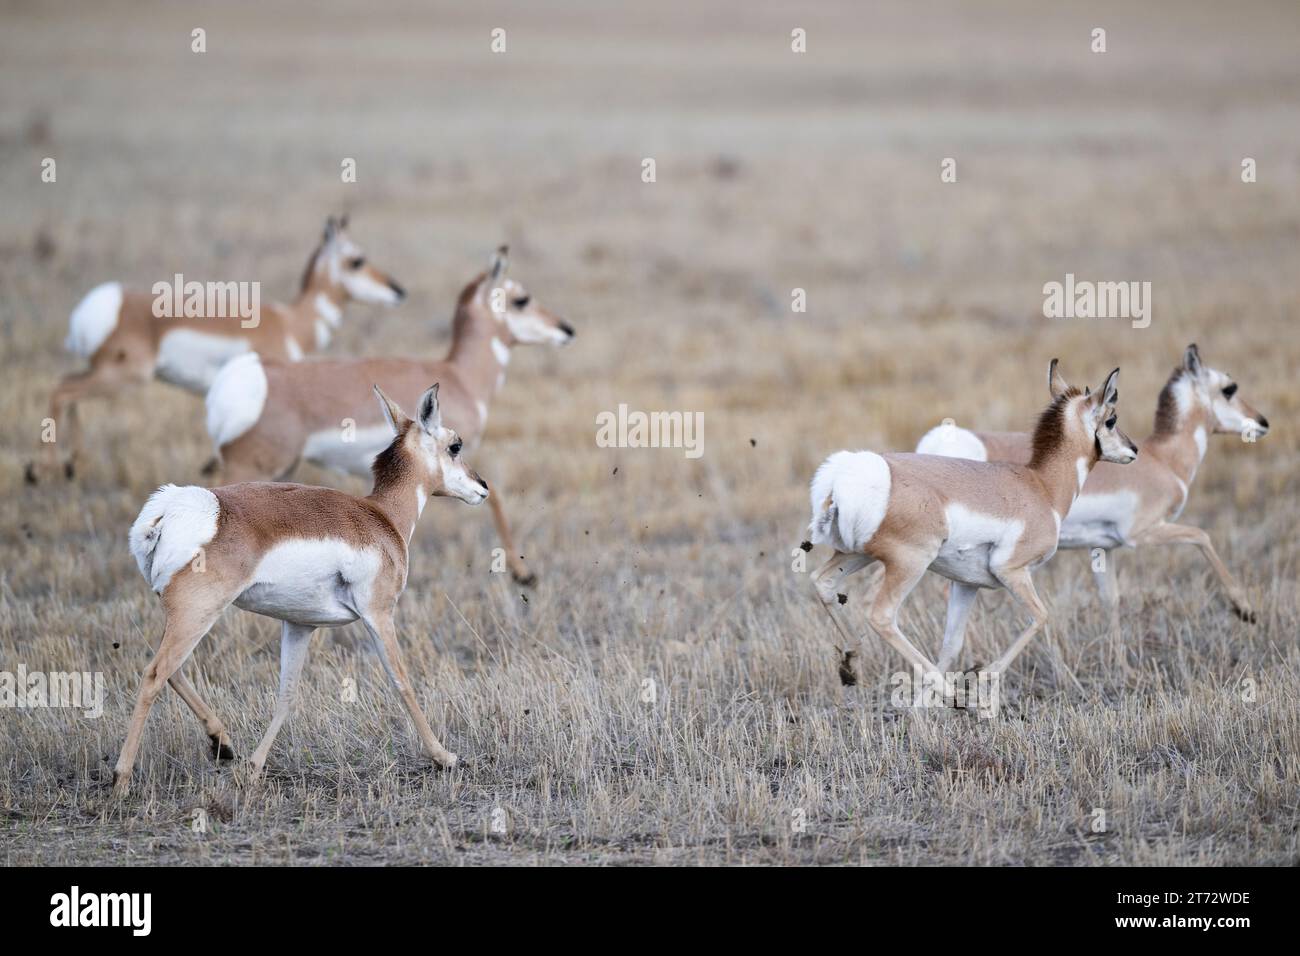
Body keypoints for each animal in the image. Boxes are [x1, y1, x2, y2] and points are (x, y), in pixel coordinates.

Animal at [31, 216, 404, 482]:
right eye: (357, 260)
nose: (399, 290)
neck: (291, 321)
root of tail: (106, 302)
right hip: (125, 376)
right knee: (62, 390)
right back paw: (41, 470)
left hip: (106, 372)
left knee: (68, 389)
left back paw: (73, 465)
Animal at [113, 383, 488, 797]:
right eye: (455, 445)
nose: (482, 487)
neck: (381, 518)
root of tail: (172, 510)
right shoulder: (378, 615)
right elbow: (401, 681)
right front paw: (445, 757)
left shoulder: (299, 625)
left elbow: (287, 695)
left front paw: (253, 767)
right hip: (197, 615)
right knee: (154, 674)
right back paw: (121, 780)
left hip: (187, 618)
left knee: (173, 671)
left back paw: (223, 745)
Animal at [204, 245, 573, 585]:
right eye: (522, 299)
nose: (566, 329)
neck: (459, 375)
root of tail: (245, 372)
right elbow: (494, 493)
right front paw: (524, 574)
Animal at [808, 362, 1137, 688]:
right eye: (1111, 419)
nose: (1133, 449)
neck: (1041, 486)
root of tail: (845, 475)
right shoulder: (1013, 572)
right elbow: (1042, 616)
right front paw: (984, 675)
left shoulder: (966, 584)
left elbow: (951, 645)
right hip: (909, 564)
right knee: (881, 616)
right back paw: (946, 690)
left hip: (856, 554)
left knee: (822, 582)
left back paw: (850, 663)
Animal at [915, 344, 1269, 631]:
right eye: (1229, 388)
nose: (1263, 422)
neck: (1162, 458)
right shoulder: (1142, 534)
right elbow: (1202, 535)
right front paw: (1246, 610)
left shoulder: (1103, 548)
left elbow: (1110, 601)